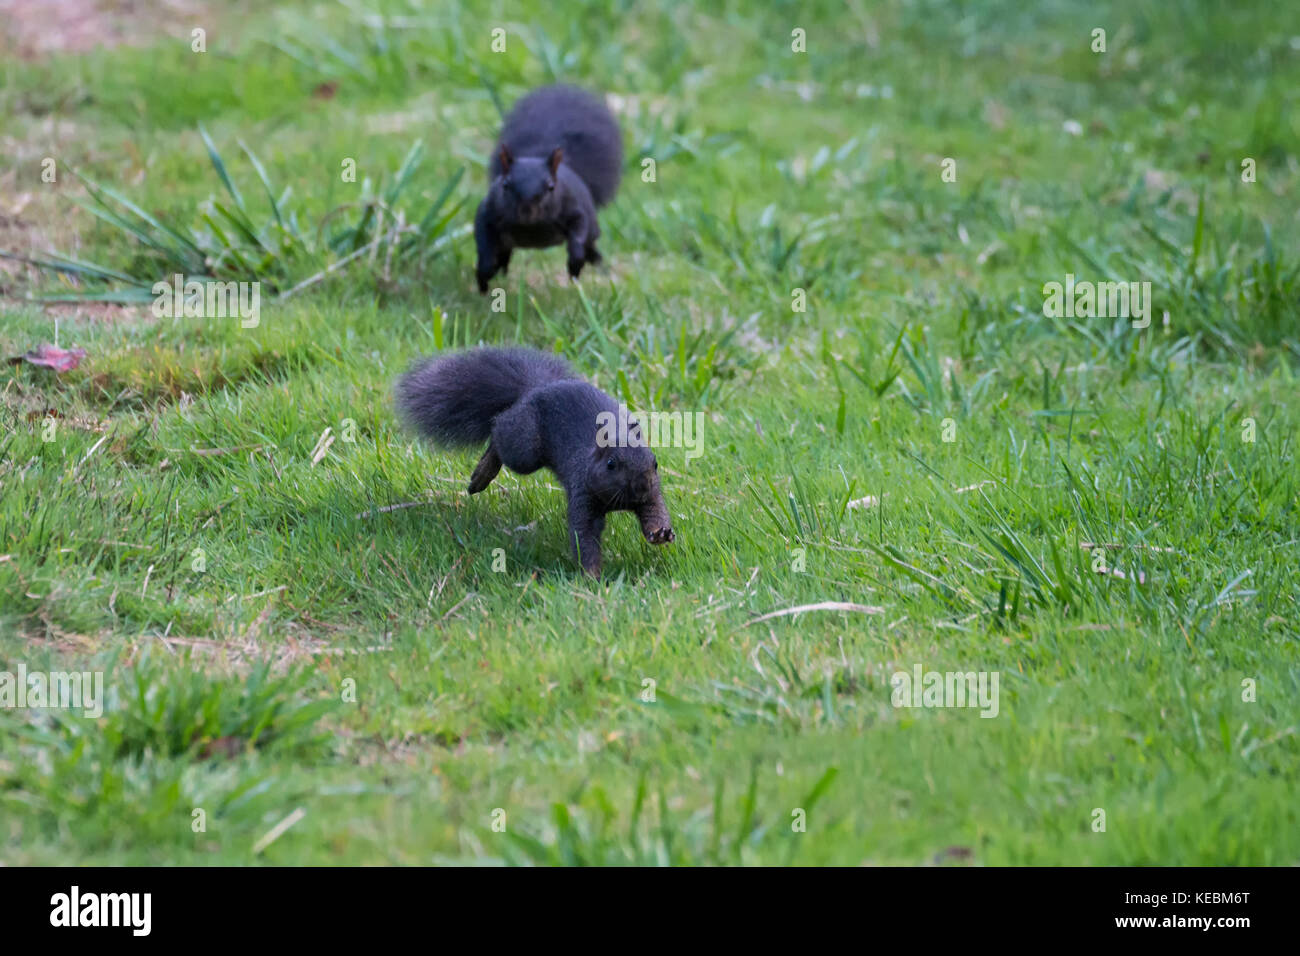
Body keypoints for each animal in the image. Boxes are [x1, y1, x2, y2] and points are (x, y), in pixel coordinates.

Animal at [395, 347, 674, 576]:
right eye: (611, 465)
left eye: (655, 463)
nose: (641, 486)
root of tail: (536, 388)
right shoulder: (581, 490)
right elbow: (584, 536)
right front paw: (592, 577)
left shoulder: (650, 496)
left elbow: (654, 511)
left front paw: (660, 532)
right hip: (524, 449)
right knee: (499, 431)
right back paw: (483, 473)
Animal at [473, 85, 623, 293]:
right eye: (506, 185)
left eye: (551, 186)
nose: (527, 210)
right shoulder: (488, 210)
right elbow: (482, 235)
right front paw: (485, 270)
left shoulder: (575, 208)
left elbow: (579, 232)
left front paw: (575, 264)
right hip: (505, 239)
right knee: (503, 250)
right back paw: (498, 268)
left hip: (593, 228)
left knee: (590, 244)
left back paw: (598, 264)